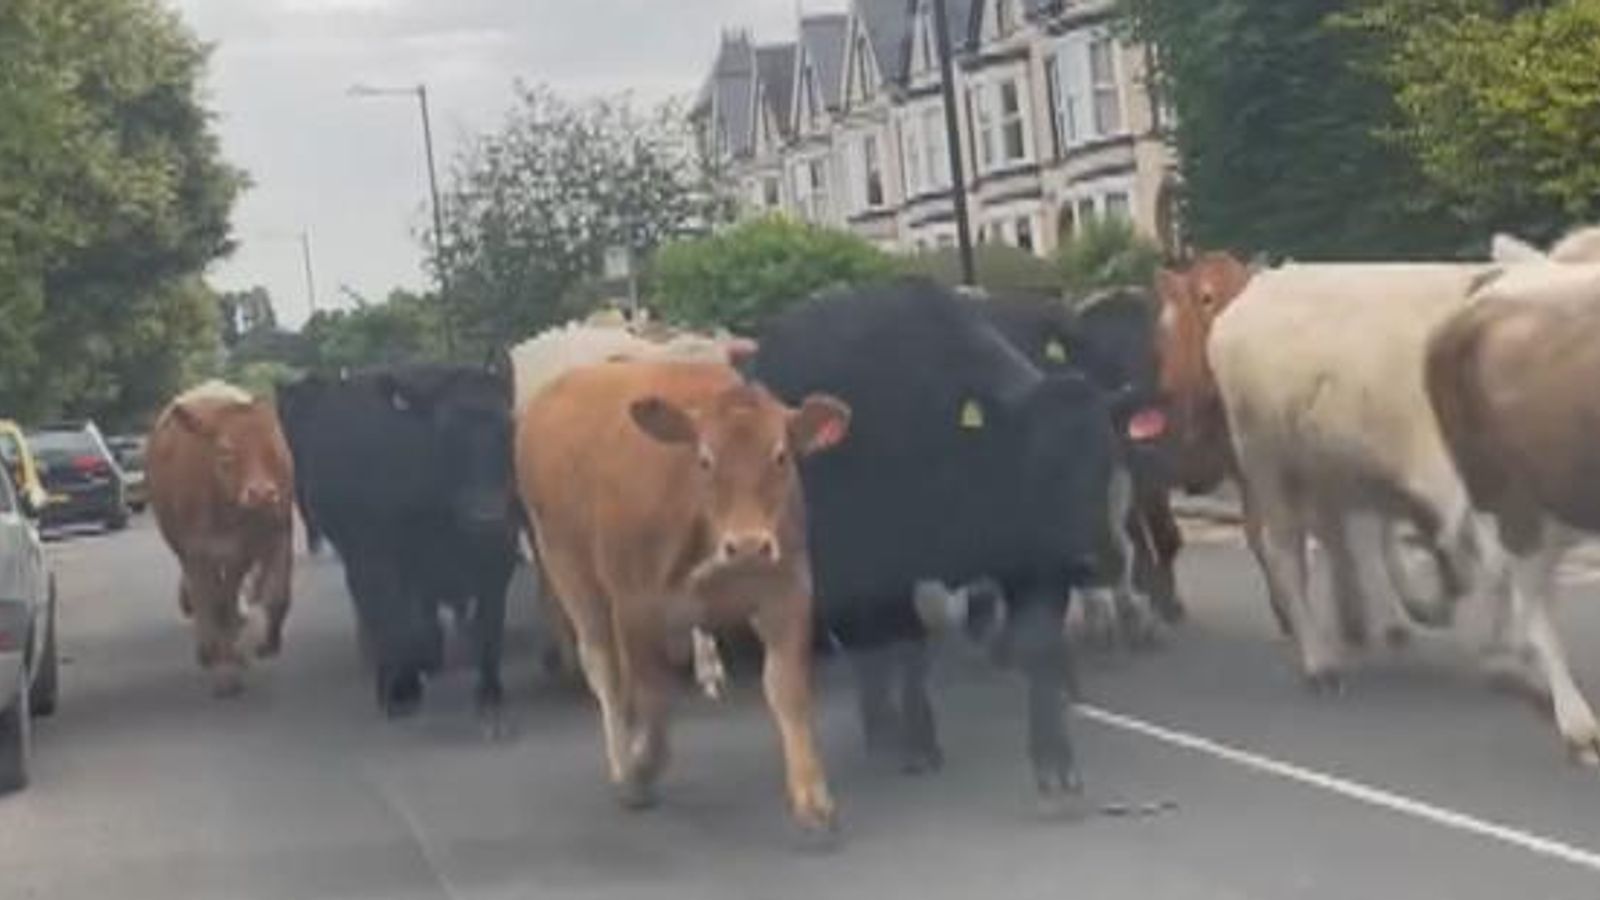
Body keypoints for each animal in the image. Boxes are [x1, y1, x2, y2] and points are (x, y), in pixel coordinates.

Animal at [147, 380, 295, 696]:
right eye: (225, 452)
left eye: (273, 448)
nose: (262, 493)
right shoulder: (198, 551)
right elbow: (210, 601)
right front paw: (223, 667)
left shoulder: (261, 540)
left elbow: (268, 596)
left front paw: (255, 646)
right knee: (208, 598)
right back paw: (210, 648)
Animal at [280, 364, 518, 729]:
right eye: (444, 432)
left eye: (509, 427)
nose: (486, 514)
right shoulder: (378, 563)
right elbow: (398, 627)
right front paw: (401, 691)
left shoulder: (497, 558)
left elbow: (489, 626)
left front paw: (489, 695)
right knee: (381, 620)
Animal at [516, 359, 849, 832]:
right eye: (705, 459)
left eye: (781, 455)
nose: (749, 545)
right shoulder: (636, 606)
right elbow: (655, 696)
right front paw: (640, 772)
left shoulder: (787, 594)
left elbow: (788, 691)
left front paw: (812, 797)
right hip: (568, 570)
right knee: (604, 670)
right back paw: (621, 759)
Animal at [750, 277, 1116, 799]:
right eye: (1041, 465)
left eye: (1107, 462)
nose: (1092, 561)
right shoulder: (890, 568)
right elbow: (909, 649)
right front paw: (920, 742)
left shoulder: (1034, 564)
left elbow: (1039, 646)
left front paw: (1055, 762)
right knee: (864, 641)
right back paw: (883, 725)